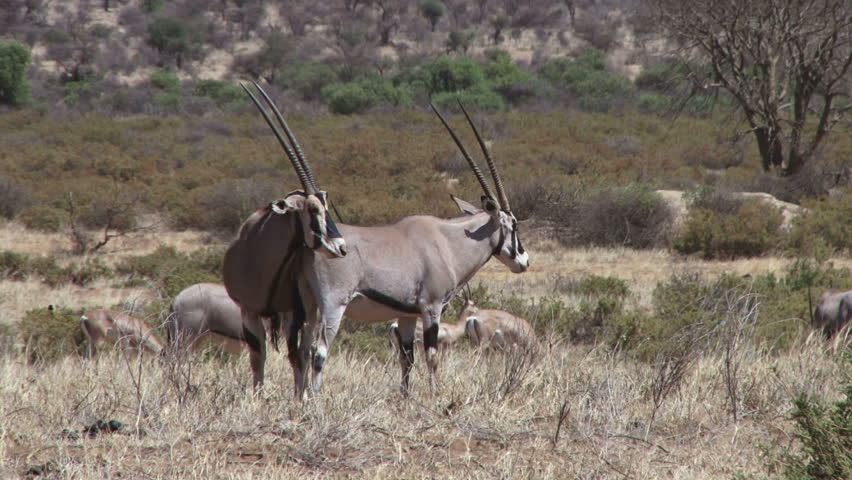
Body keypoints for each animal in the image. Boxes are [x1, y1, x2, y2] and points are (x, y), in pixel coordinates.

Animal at [223, 82, 346, 391]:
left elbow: (296, 356)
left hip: (309, 311)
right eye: (313, 209)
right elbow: (258, 356)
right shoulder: (248, 310)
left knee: (306, 350)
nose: (341, 247)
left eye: (326, 204)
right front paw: (257, 395)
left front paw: (299, 396)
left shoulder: (293, 311)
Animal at [287, 101, 529, 398]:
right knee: (318, 351)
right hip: (333, 305)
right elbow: (432, 356)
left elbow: (407, 358)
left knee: (301, 350)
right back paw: (315, 399)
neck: (448, 243)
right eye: (514, 224)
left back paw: (300, 398)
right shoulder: (432, 308)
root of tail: (312, 245)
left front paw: (405, 397)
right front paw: (435, 395)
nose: (524, 260)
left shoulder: (406, 314)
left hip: (309, 305)